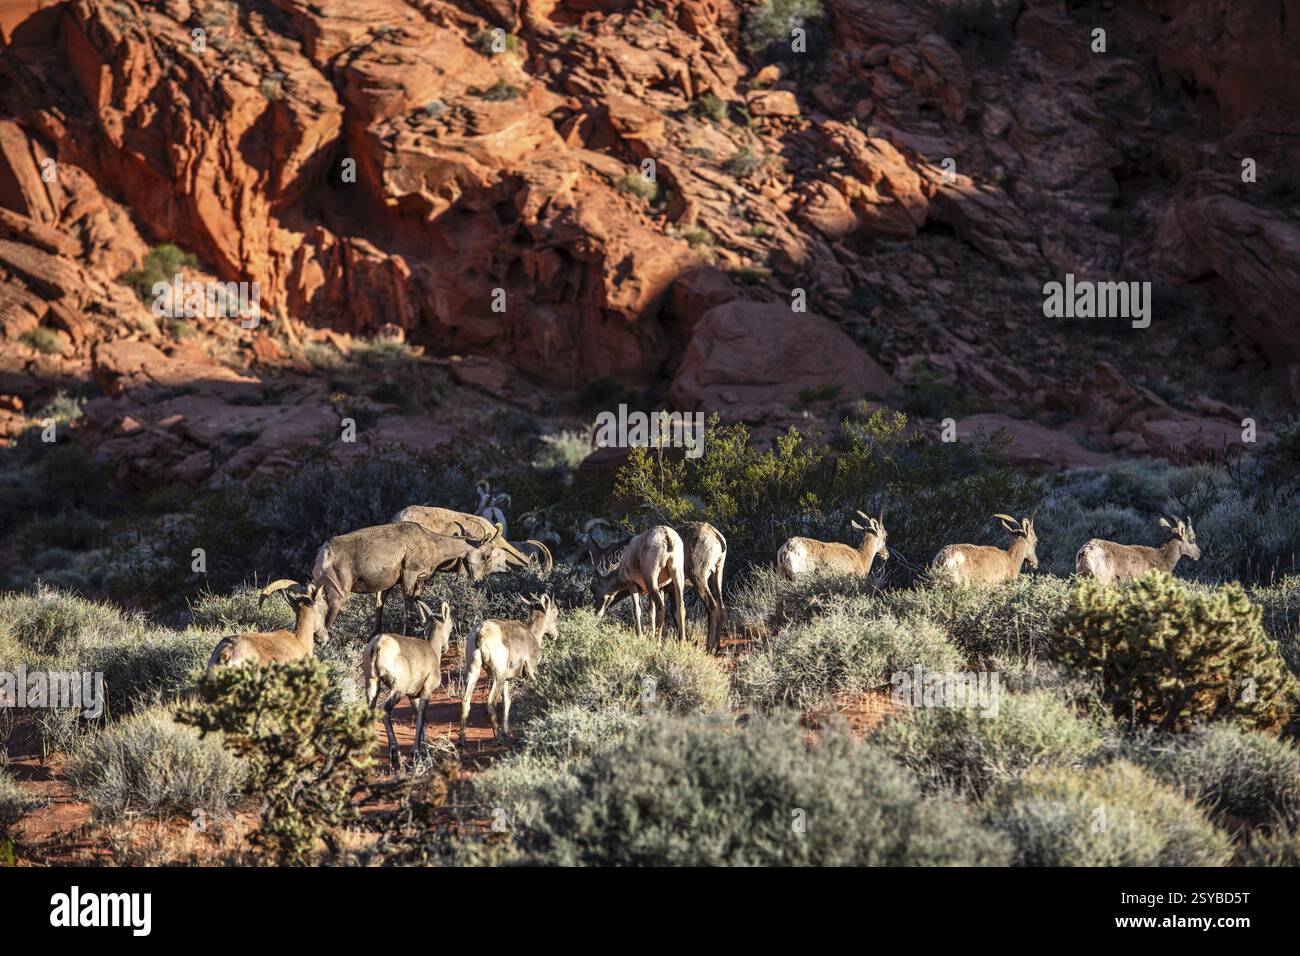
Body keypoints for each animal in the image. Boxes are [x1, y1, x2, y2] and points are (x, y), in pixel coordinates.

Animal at [312, 520, 500, 640]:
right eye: (486, 555)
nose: (477, 580)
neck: (431, 542)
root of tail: (325, 551)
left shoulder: (400, 584)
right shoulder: (409, 576)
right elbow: (407, 603)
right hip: (337, 596)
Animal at [363, 600, 453, 766]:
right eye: (450, 624)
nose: (446, 648)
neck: (431, 650)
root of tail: (378, 645)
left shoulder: (413, 696)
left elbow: (424, 719)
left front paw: (425, 750)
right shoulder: (426, 691)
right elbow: (421, 718)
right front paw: (417, 752)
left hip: (372, 683)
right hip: (398, 689)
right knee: (385, 709)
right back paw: (394, 753)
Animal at [459, 594, 559, 746]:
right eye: (555, 614)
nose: (555, 635)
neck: (532, 634)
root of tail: (481, 632)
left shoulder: (507, 680)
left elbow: (507, 701)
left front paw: (506, 731)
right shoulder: (532, 670)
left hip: (474, 671)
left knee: (465, 700)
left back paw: (462, 740)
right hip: (497, 677)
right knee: (490, 702)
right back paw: (498, 739)